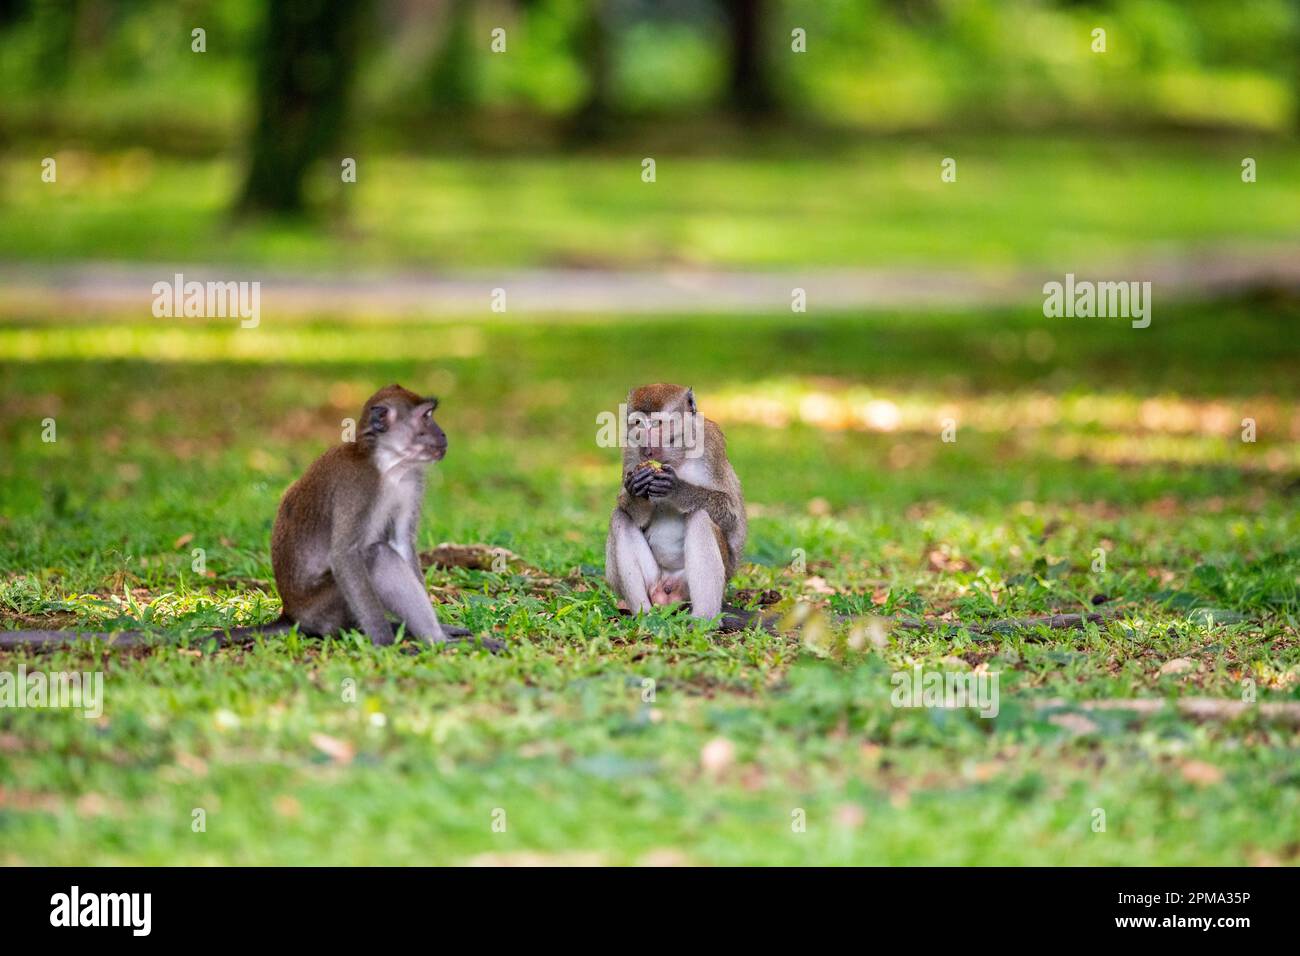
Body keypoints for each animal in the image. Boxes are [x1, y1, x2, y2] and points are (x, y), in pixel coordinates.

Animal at [0, 384, 500, 653]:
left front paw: (437, 627)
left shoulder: (412, 482)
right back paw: (422, 640)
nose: (443, 435)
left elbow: (403, 546)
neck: (388, 465)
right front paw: (385, 641)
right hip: (324, 605)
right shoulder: (360, 487)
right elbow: (351, 554)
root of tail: (290, 612)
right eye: (426, 418)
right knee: (373, 558)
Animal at [605, 384, 747, 625]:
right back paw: (643, 613)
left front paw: (677, 489)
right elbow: (631, 512)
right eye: (638, 423)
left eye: (658, 424)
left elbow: (731, 514)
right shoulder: (631, 450)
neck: (676, 455)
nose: (646, 446)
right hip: (655, 579)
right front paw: (636, 489)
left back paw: (704, 619)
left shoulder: (711, 444)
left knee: (700, 516)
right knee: (620, 517)